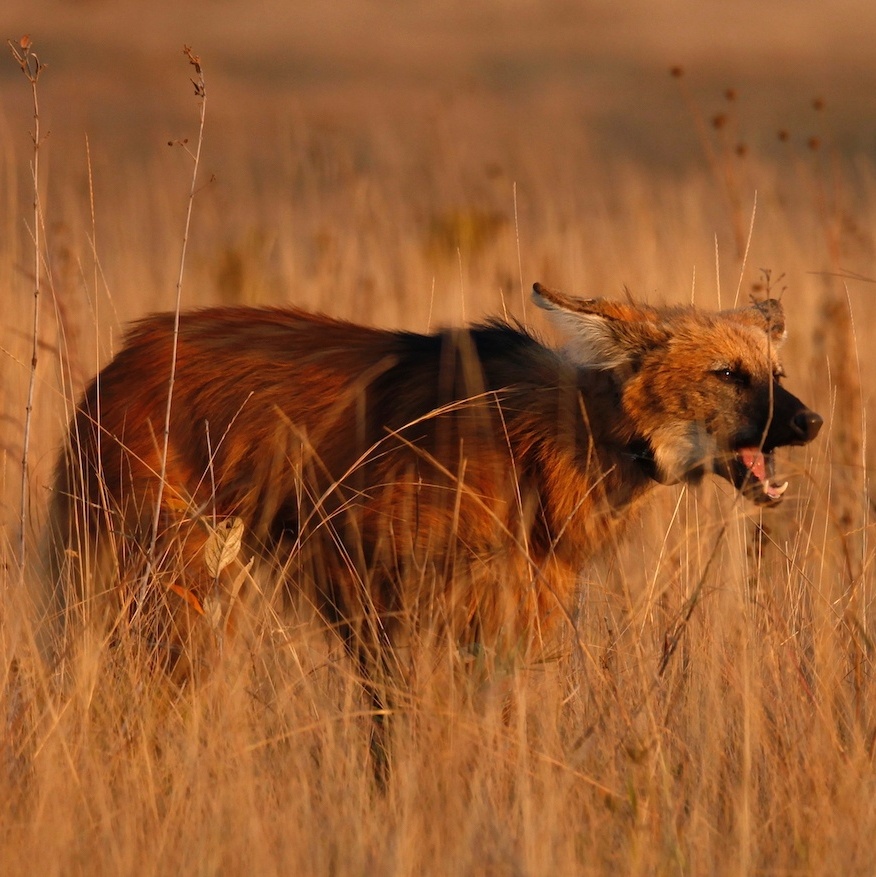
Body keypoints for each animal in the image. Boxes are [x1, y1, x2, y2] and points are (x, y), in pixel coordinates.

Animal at [44, 283, 822, 673]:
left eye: (776, 373)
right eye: (728, 374)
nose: (812, 420)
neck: (555, 439)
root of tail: (126, 353)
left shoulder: (510, 612)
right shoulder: (377, 598)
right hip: (170, 576)